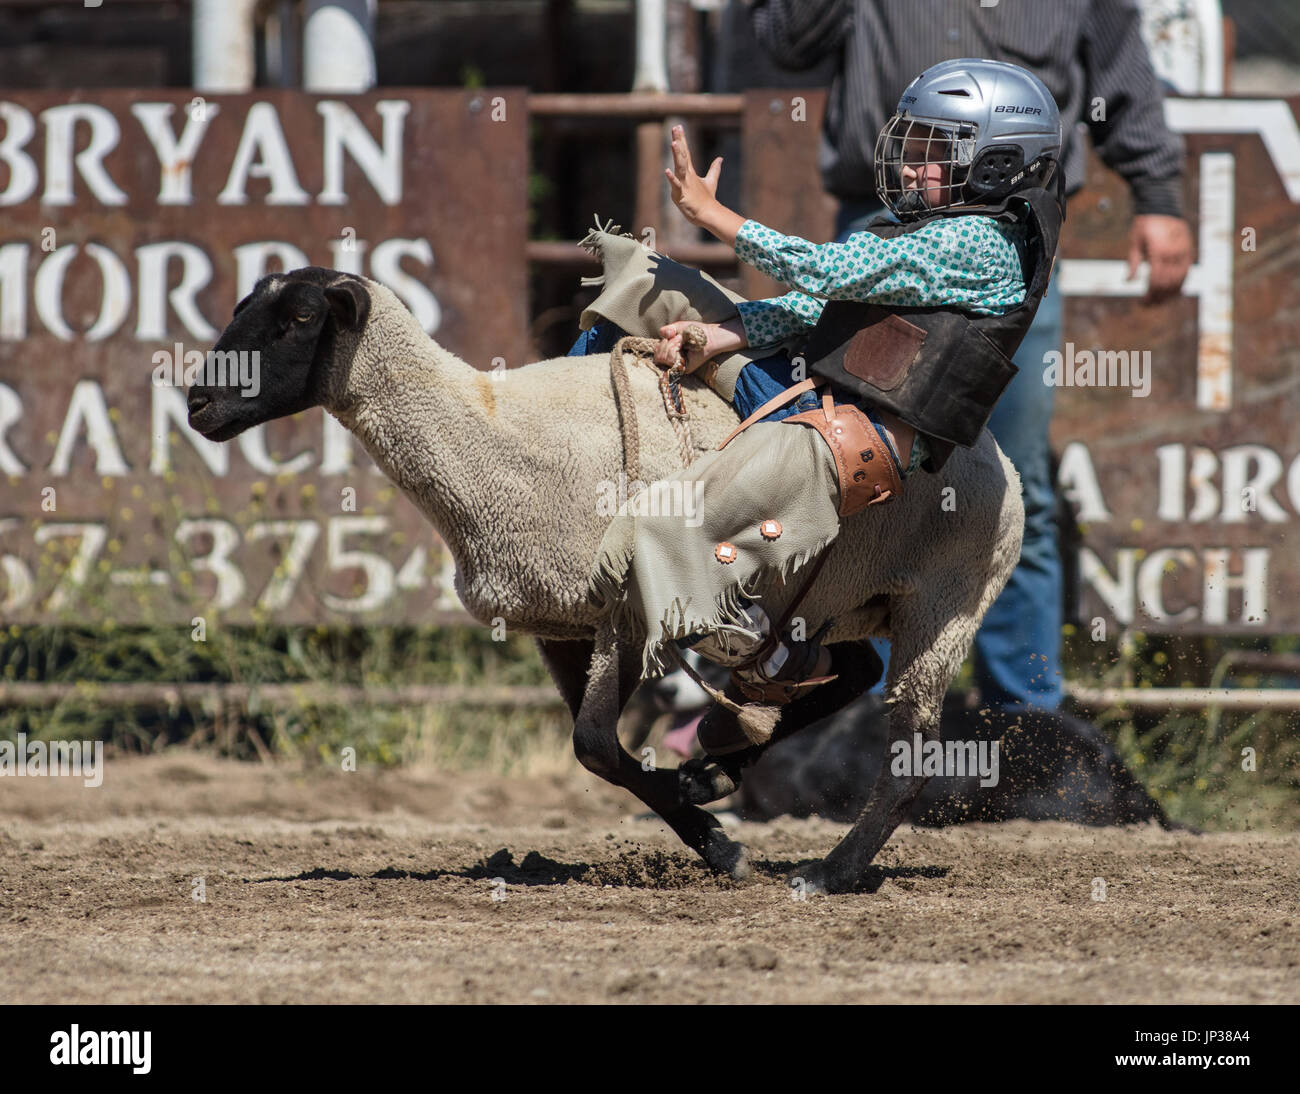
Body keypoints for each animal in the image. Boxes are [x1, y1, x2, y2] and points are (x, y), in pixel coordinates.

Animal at [188, 265, 1025, 894]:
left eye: (299, 318)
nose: (198, 402)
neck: (488, 437)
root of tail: (1003, 465)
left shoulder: (630, 608)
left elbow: (594, 741)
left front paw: (718, 841)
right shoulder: (561, 625)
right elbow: (595, 747)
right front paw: (705, 816)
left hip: (942, 606)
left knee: (911, 752)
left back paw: (831, 870)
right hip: (827, 597)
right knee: (847, 674)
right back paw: (721, 763)